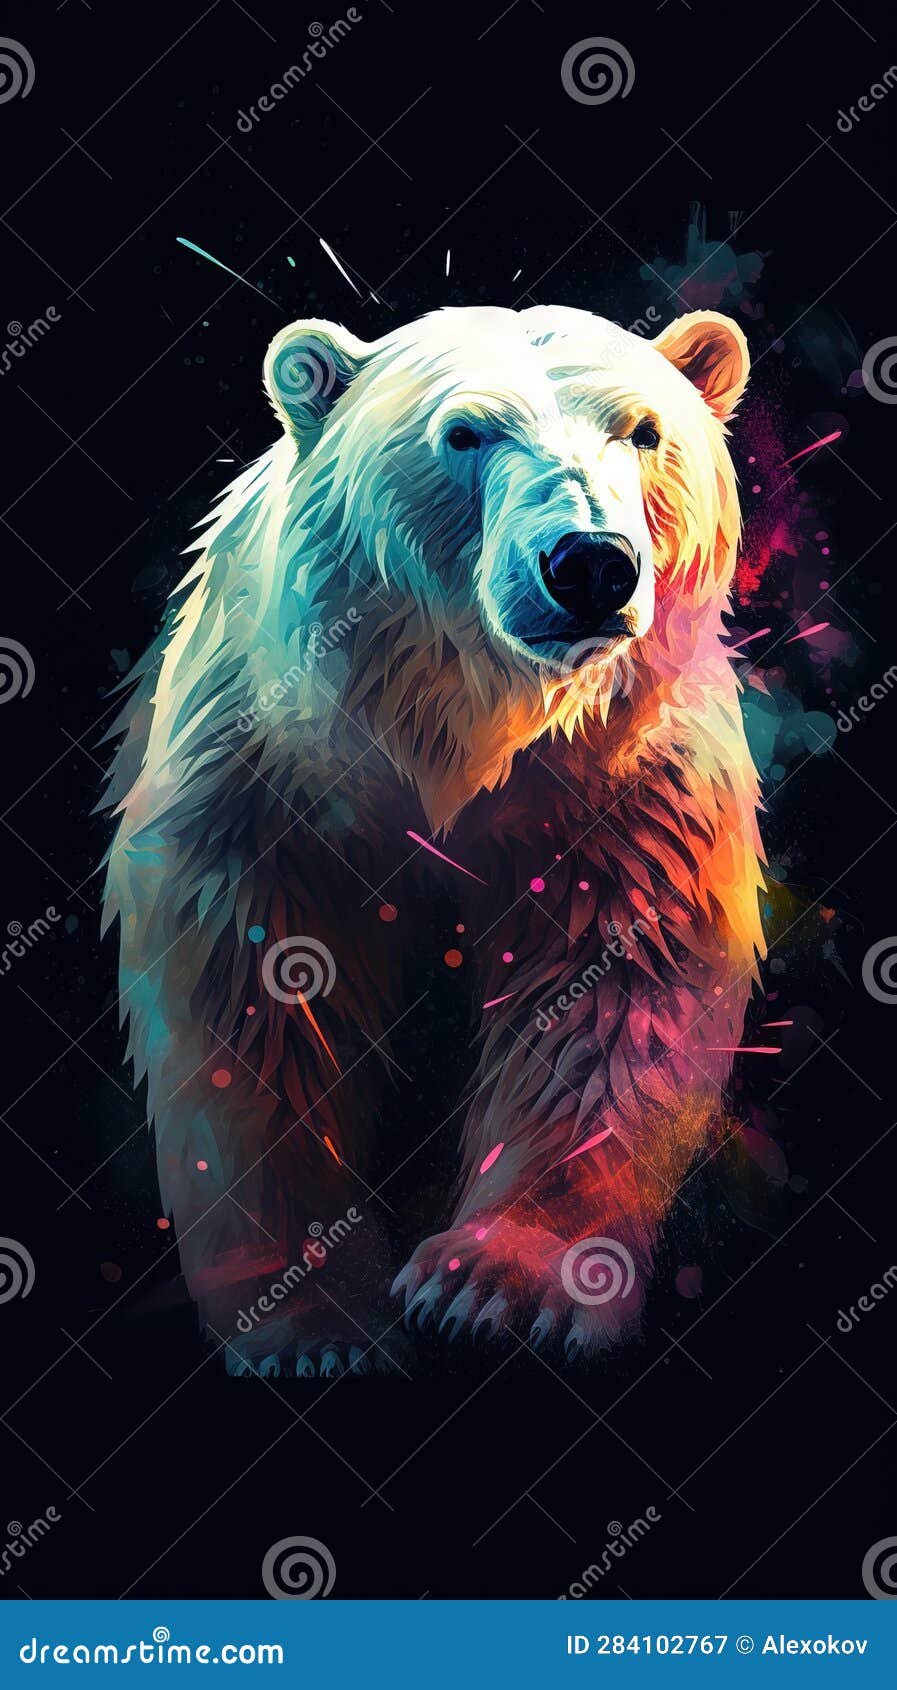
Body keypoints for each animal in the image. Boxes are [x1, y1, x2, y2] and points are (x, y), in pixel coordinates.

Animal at [102, 303, 765, 1375]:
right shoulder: (263, 771)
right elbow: (253, 1004)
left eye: (642, 430)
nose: (588, 562)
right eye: (464, 433)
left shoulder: (626, 783)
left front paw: (495, 1287)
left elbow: (609, 994)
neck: (456, 734)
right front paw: (314, 1327)